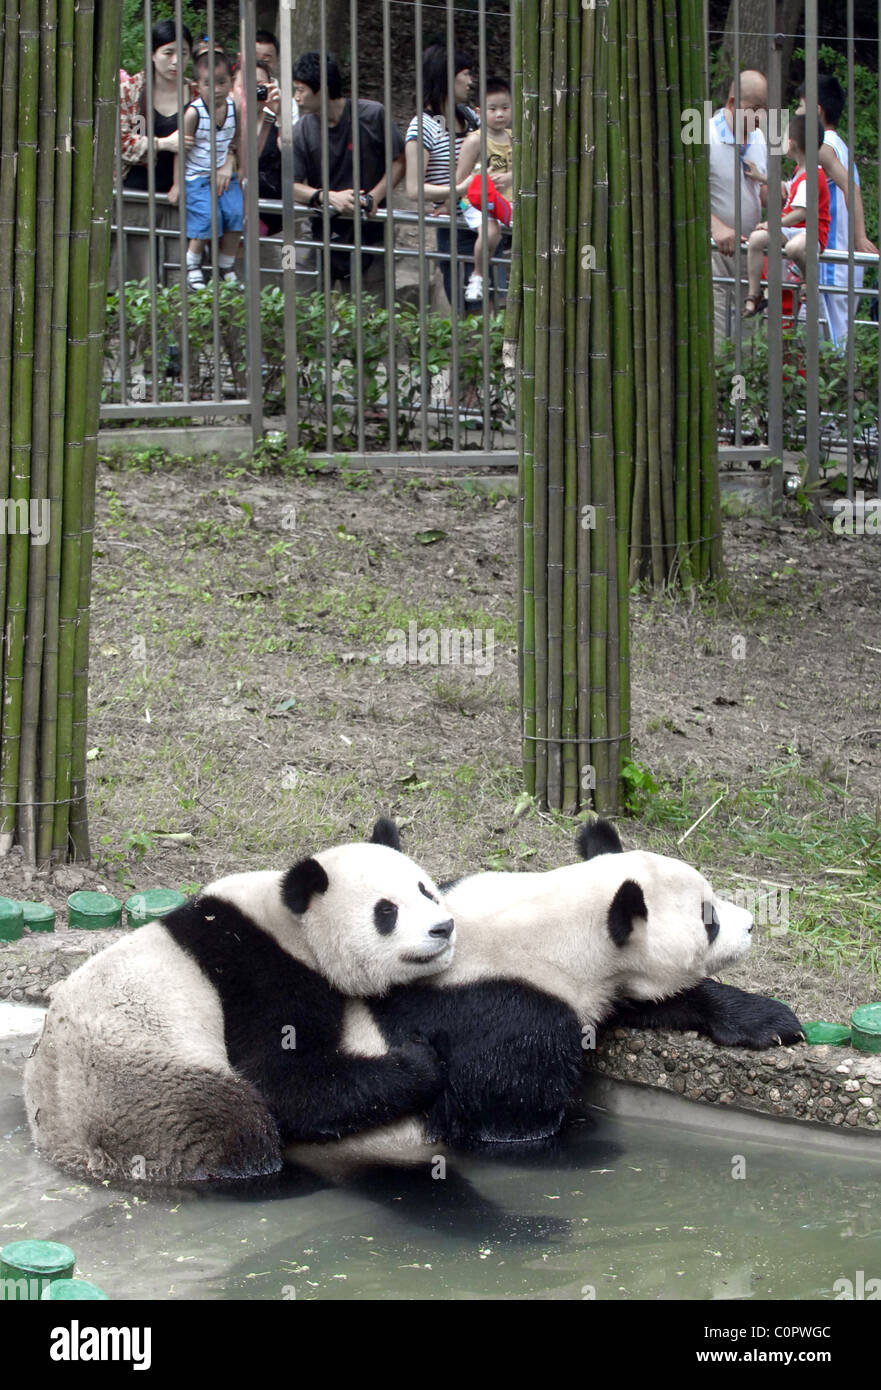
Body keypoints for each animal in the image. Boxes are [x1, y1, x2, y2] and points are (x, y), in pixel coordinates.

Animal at [23, 825, 455, 1185]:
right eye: (386, 911)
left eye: (425, 890)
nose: (443, 927)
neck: (291, 922)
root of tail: (65, 1149)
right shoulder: (261, 975)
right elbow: (286, 1081)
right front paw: (418, 1059)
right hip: (142, 1093)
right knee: (230, 1126)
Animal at [286, 817, 784, 1168]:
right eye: (708, 919)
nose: (750, 925)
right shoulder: (505, 1014)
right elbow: (514, 1118)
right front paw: (585, 1142)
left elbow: (648, 1000)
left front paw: (770, 1022)